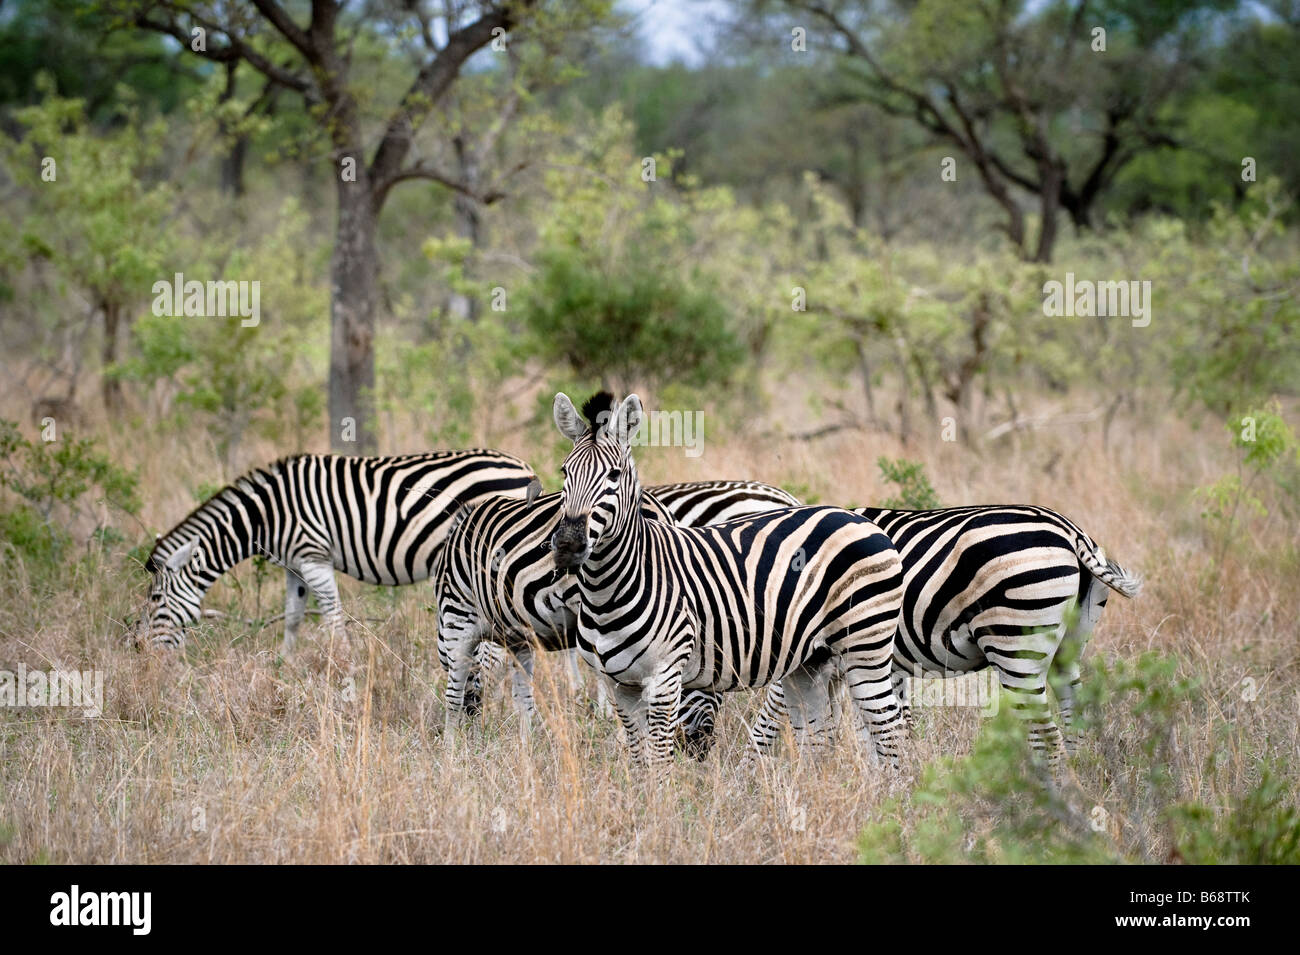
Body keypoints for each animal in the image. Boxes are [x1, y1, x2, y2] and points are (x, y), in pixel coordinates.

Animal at [131, 450, 537, 653]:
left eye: (154, 600)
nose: (138, 650)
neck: (267, 514)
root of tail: (522, 465)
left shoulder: (314, 558)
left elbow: (334, 621)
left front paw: (344, 676)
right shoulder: (293, 567)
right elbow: (293, 619)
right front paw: (285, 668)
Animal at [549, 391, 907, 767]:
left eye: (614, 475)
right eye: (564, 471)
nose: (569, 544)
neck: (610, 590)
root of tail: (856, 517)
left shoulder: (664, 678)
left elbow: (659, 764)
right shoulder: (618, 685)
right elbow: (639, 762)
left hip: (865, 646)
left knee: (890, 727)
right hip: (810, 660)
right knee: (819, 739)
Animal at [750, 504, 1142, 760]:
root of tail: (1071, 532)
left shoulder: (809, 647)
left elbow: (769, 720)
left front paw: (751, 777)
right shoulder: (870, 664)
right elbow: (874, 729)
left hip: (1016, 641)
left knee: (1046, 735)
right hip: (1068, 646)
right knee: (1075, 717)